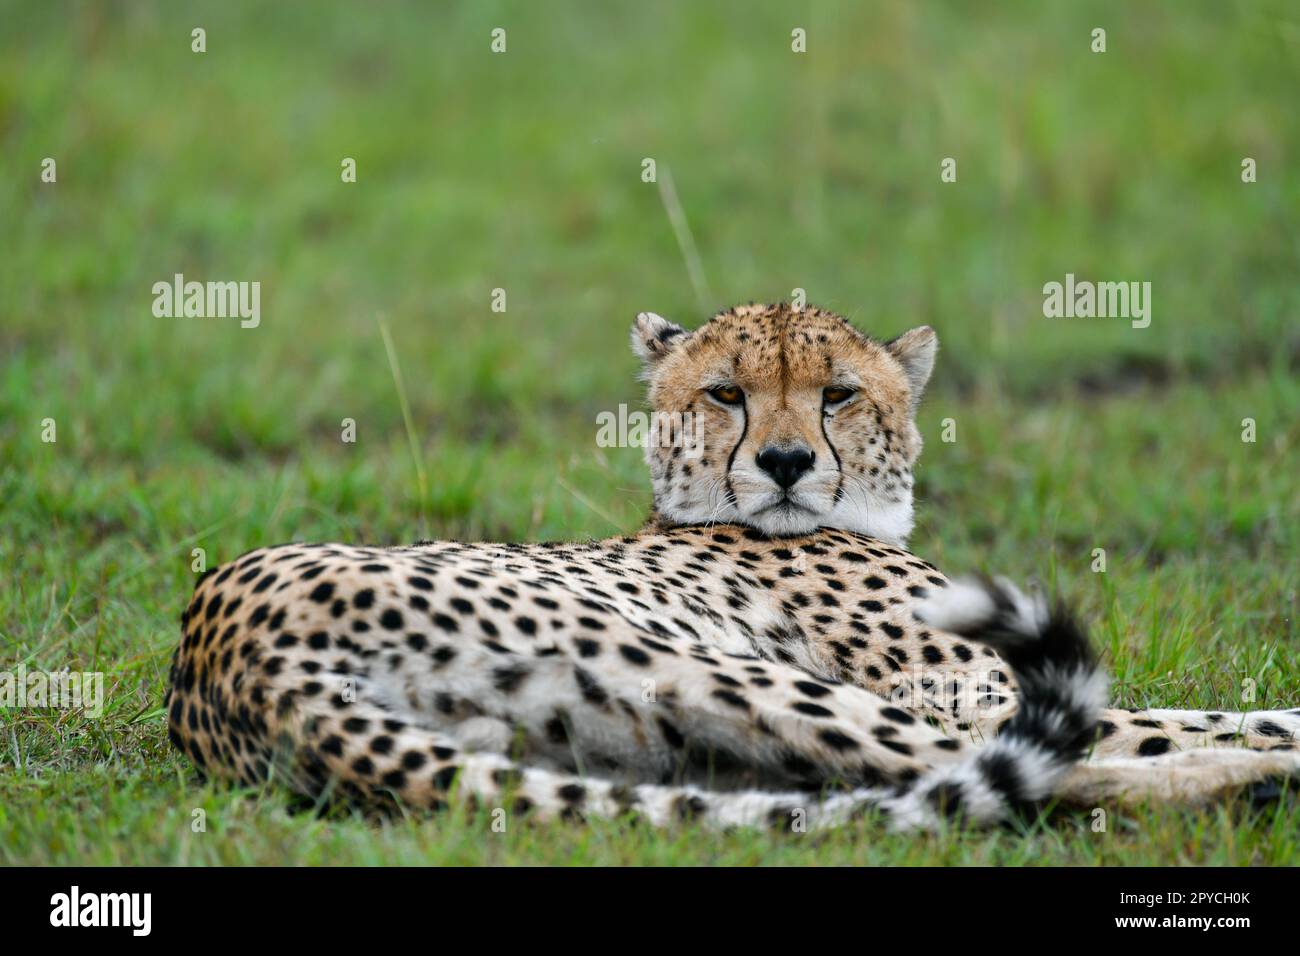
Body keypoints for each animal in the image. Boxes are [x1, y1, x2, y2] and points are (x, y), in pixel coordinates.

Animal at [166, 302, 1300, 830]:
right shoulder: (961, 686)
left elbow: (1213, 707)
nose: (786, 461)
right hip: (723, 671)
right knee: (1007, 765)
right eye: (725, 393)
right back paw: (1250, 786)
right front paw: (1265, 745)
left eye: (837, 393)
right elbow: (1164, 717)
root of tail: (217, 653)